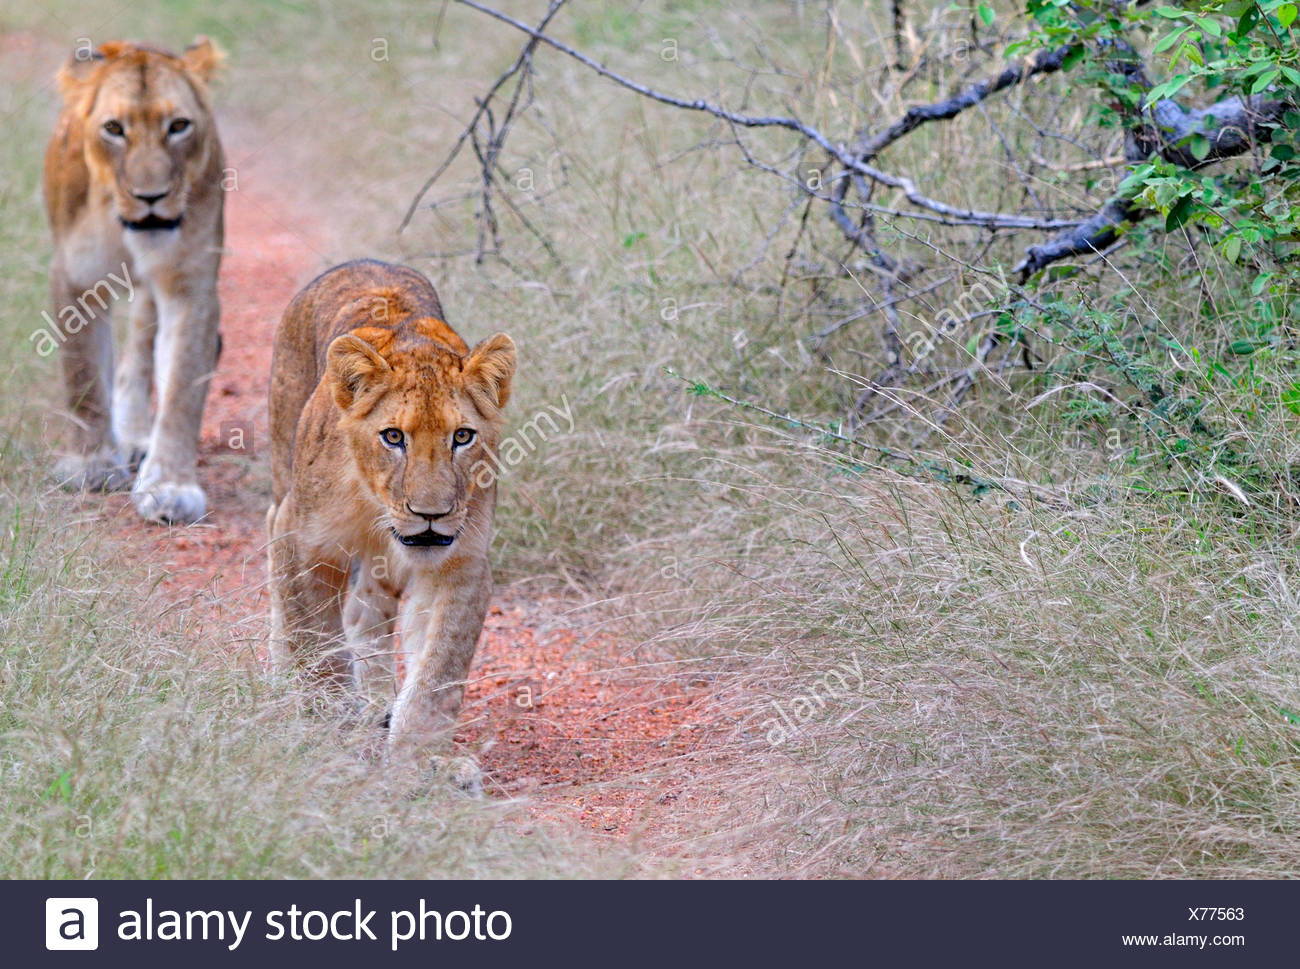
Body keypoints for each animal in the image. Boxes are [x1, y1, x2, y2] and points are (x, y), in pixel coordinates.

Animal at [43, 38, 225, 524]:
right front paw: (91, 465)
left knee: (141, 350)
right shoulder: (77, 275)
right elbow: (83, 374)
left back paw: (136, 437)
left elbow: (181, 388)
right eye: (114, 128)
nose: (151, 197)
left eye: (178, 126)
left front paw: (170, 487)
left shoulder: (190, 285)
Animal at [267, 259, 516, 792]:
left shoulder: (460, 566)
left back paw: (378, 702)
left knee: (365, 612)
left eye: (462, 436)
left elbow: (437, 673)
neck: (375, 505)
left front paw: (423, 761)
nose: (430, 514)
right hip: (281, 478)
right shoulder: (305, 545)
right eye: (394, 436)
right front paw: (325, 729)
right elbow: (315, 644)